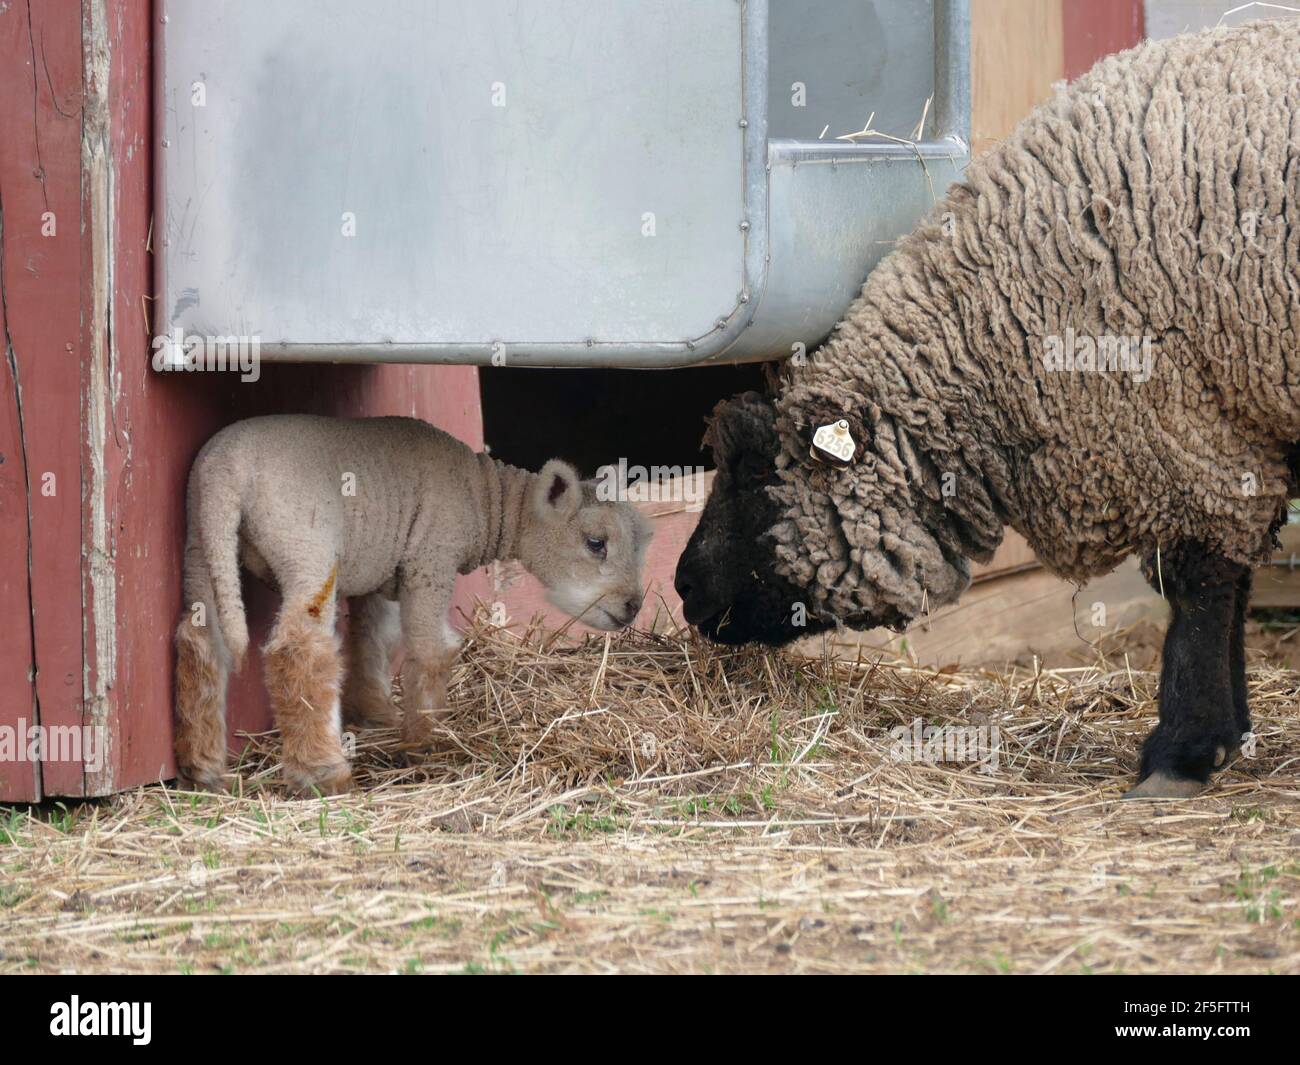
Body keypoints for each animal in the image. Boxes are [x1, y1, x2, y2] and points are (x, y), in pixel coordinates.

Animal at [174, 414, 653, 796]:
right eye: (596, 543)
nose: (632, 607)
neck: (484, 499)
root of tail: (227, 472)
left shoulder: (385, 563)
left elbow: (373, 636)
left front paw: (376, 714)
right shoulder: (430, 557)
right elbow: (429, 649)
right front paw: (427, 741)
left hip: (202, 543)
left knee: (200, 642)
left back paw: (204, 769)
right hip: (304, 544)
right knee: (298, 650)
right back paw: (322, 773)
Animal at [674, 20, 1300, 799]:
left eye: (757, 472)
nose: (682, 584)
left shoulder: (1183, 425)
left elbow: (1200, 585)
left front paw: (1183, 750)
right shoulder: (1232, 424)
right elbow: (1231, 584)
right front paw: (1228, 736)